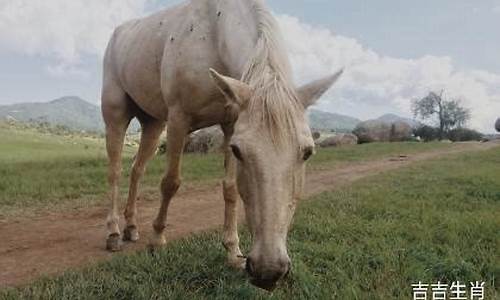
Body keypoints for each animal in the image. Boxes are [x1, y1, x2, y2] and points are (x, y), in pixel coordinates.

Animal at [101, 0, 344, 290]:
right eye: (240, 151)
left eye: (307, 153)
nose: (268, 271)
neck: (213, 35)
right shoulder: (179, 119)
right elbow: (171, 183)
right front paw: (157, 240)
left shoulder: (230, 124)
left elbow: (230, 190)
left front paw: (232, 251)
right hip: (116, 114)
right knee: (115, 172)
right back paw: (114, 233)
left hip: (153, 123)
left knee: (137, 170)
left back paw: (131, 227)